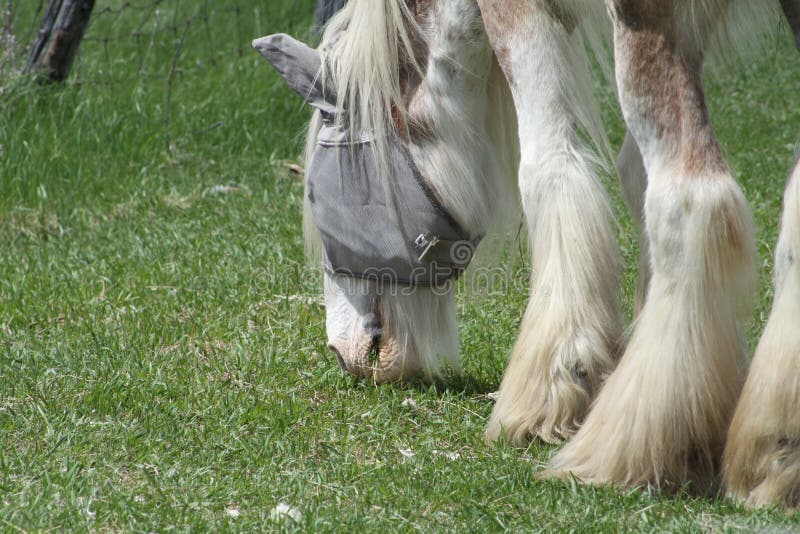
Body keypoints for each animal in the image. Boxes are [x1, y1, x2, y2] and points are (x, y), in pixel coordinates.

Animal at [257, 0, 800, 507]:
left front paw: (557, 385)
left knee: (689, 197)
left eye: (312, 194)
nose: (340, 351)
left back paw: (629, 452)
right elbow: (633, 173)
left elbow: (548, 166)